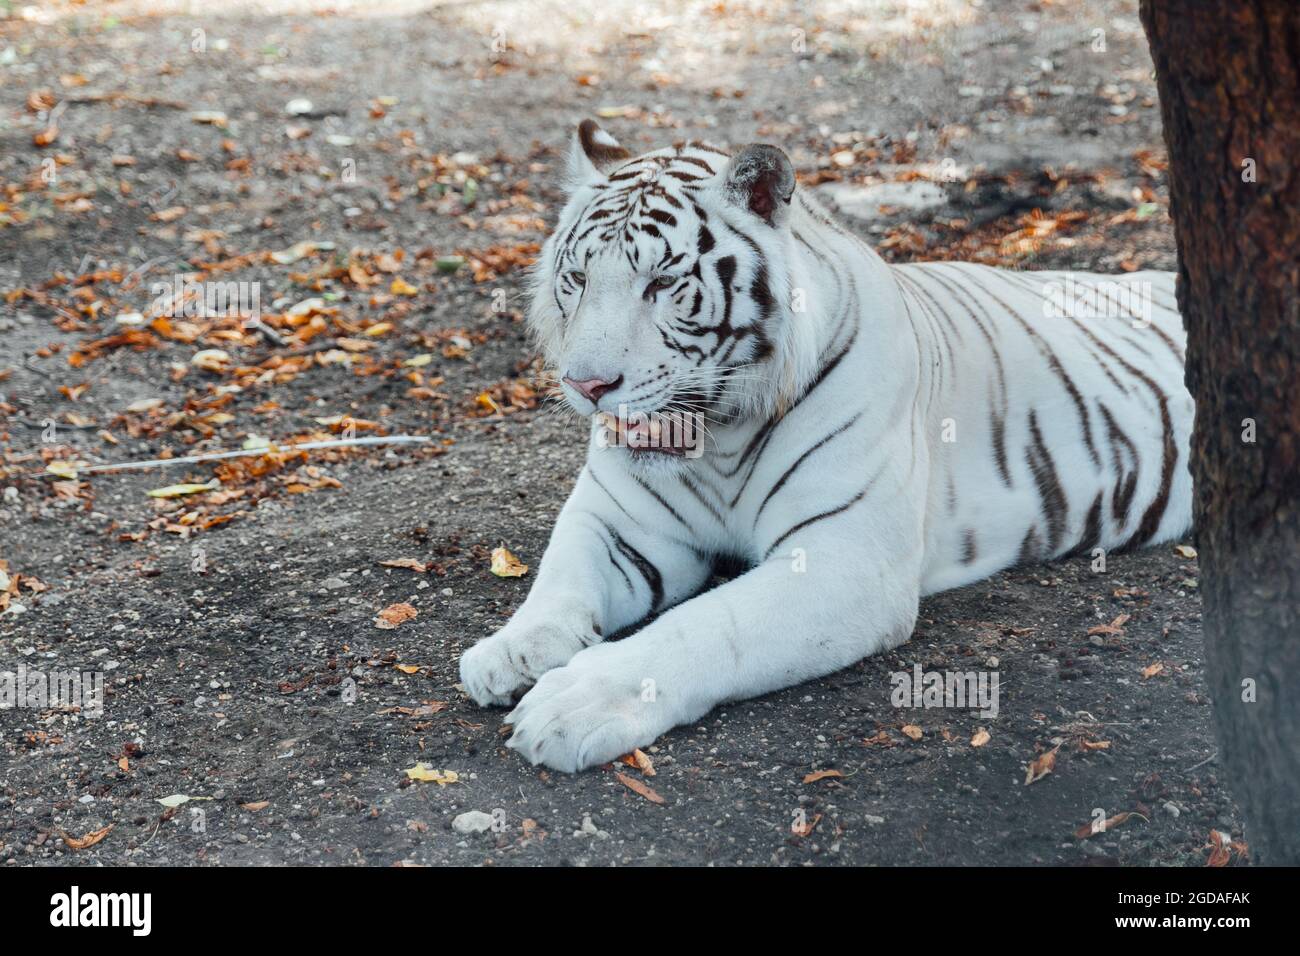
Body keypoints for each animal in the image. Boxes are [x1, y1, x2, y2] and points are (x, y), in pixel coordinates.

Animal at [459, 118, 1194, 772]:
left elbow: (706, 626)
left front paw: (575, 703)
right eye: (579, 279)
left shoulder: (848, 560)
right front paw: (509, 652)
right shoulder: (619, 523)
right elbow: (560, 580)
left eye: (662, 284)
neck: (719, 440)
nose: (586, 385)